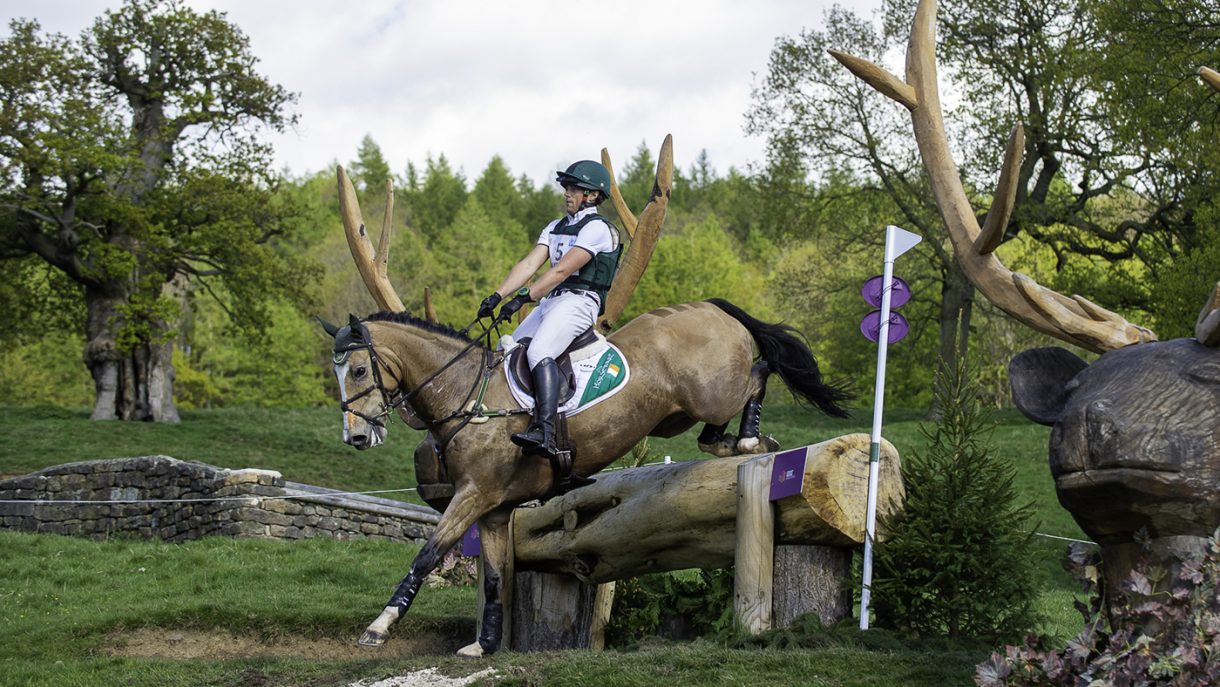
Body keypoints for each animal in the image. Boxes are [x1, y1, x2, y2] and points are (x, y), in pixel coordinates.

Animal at [321, 297, 851, 655]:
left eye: (361, 370)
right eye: (337, 373)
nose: (356, 437)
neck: (467, 395)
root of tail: (710, 307)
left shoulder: (474, 494)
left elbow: (428, 554)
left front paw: (379, 626)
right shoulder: (494, 510)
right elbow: (494, 576)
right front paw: (485, 645)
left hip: (712, 392)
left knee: (761, 371)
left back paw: (747, 440)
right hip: (678, 415)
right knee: (714, 430)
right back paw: (746, 442)